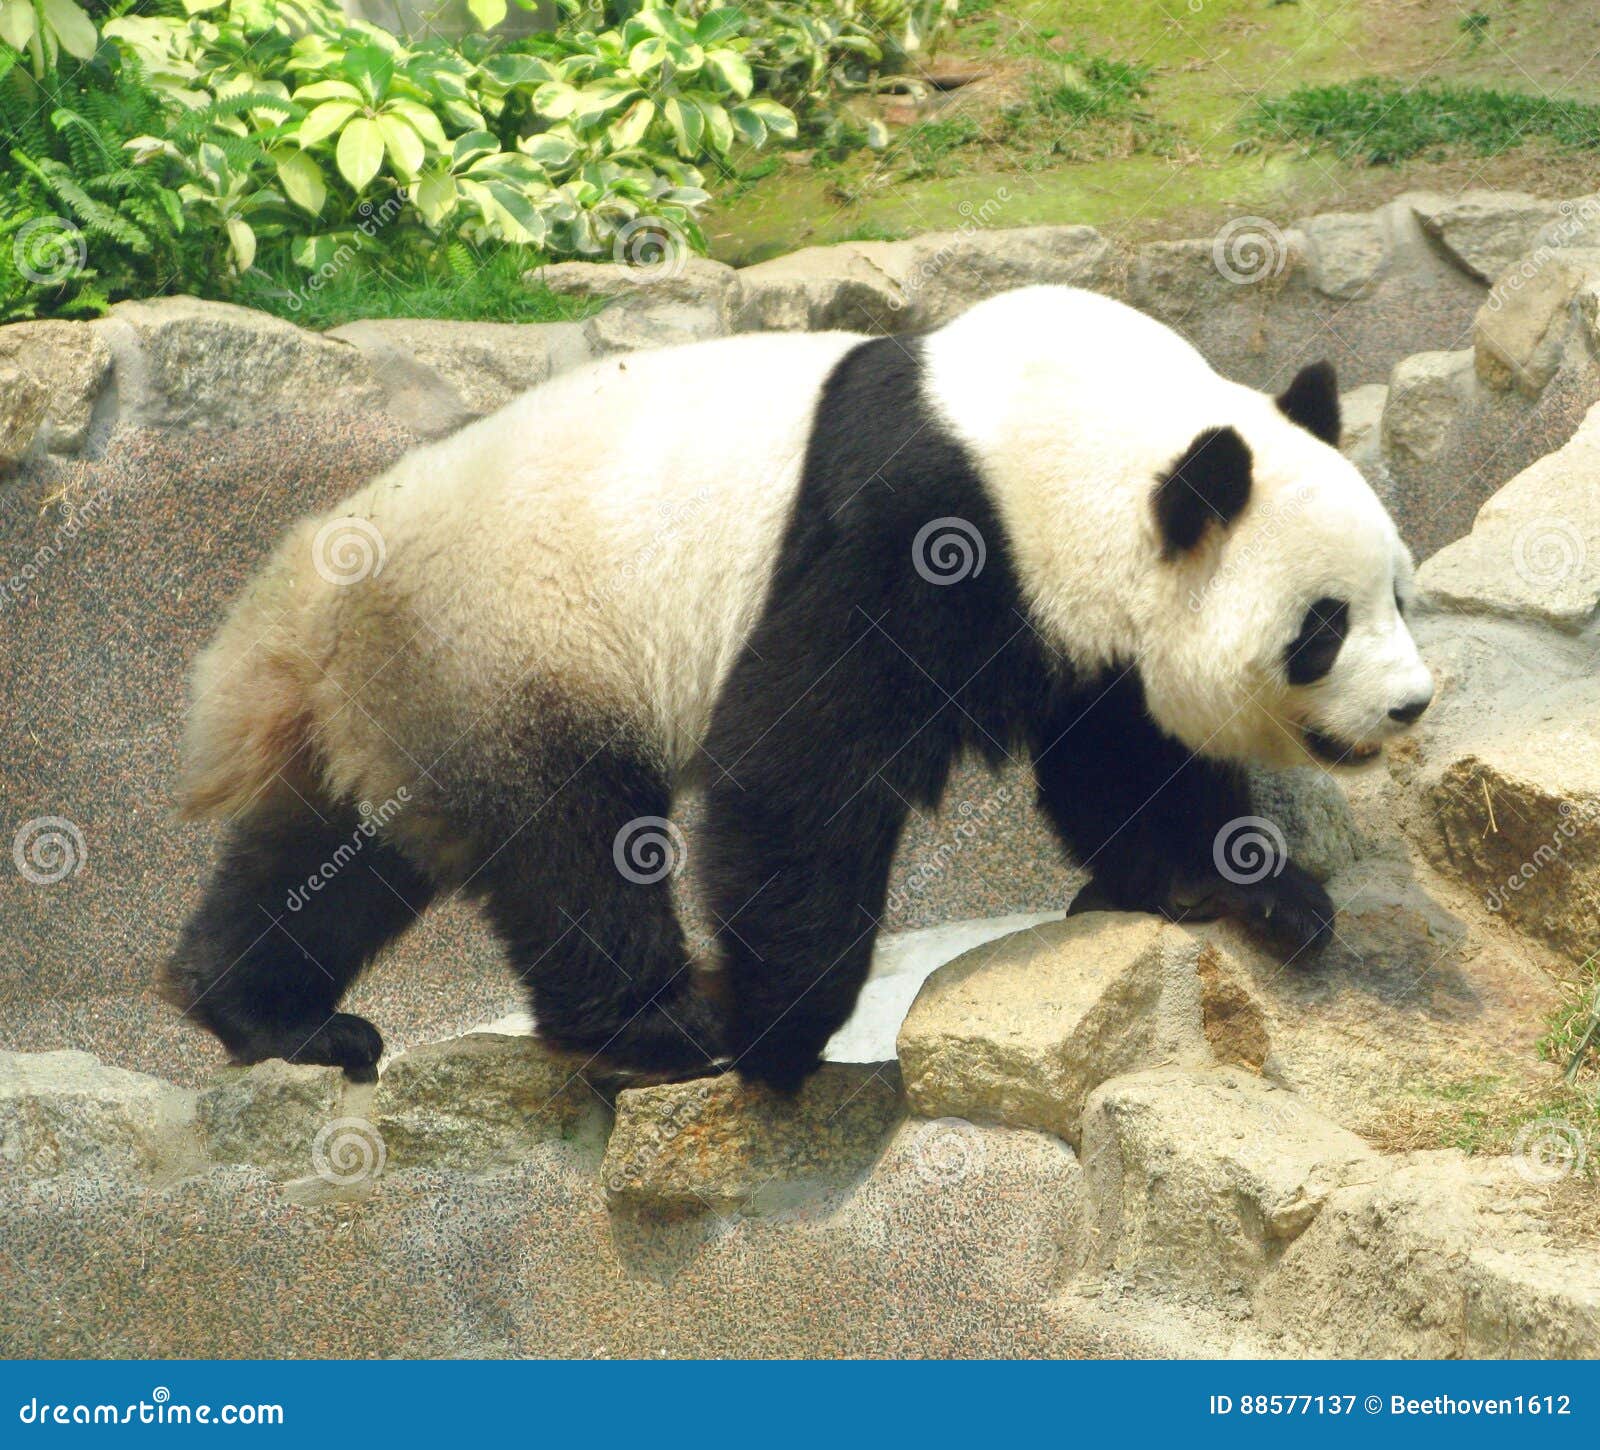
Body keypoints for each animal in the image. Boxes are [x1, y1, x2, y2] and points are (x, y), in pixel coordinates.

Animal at [163, 285, 1433, 1091]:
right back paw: (657, 1029)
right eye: (1322, 627)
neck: (1076, 438)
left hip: (410, 685)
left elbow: (1124, 752)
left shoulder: (1076, 617)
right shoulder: (924, 531)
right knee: (566, 837)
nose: (1408, 706)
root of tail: (300, 595)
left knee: (341, 846)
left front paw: (1249, 890)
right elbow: (796, 768)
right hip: (506, 637)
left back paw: (268, 1013)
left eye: (1398, 592)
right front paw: (773, 1033)